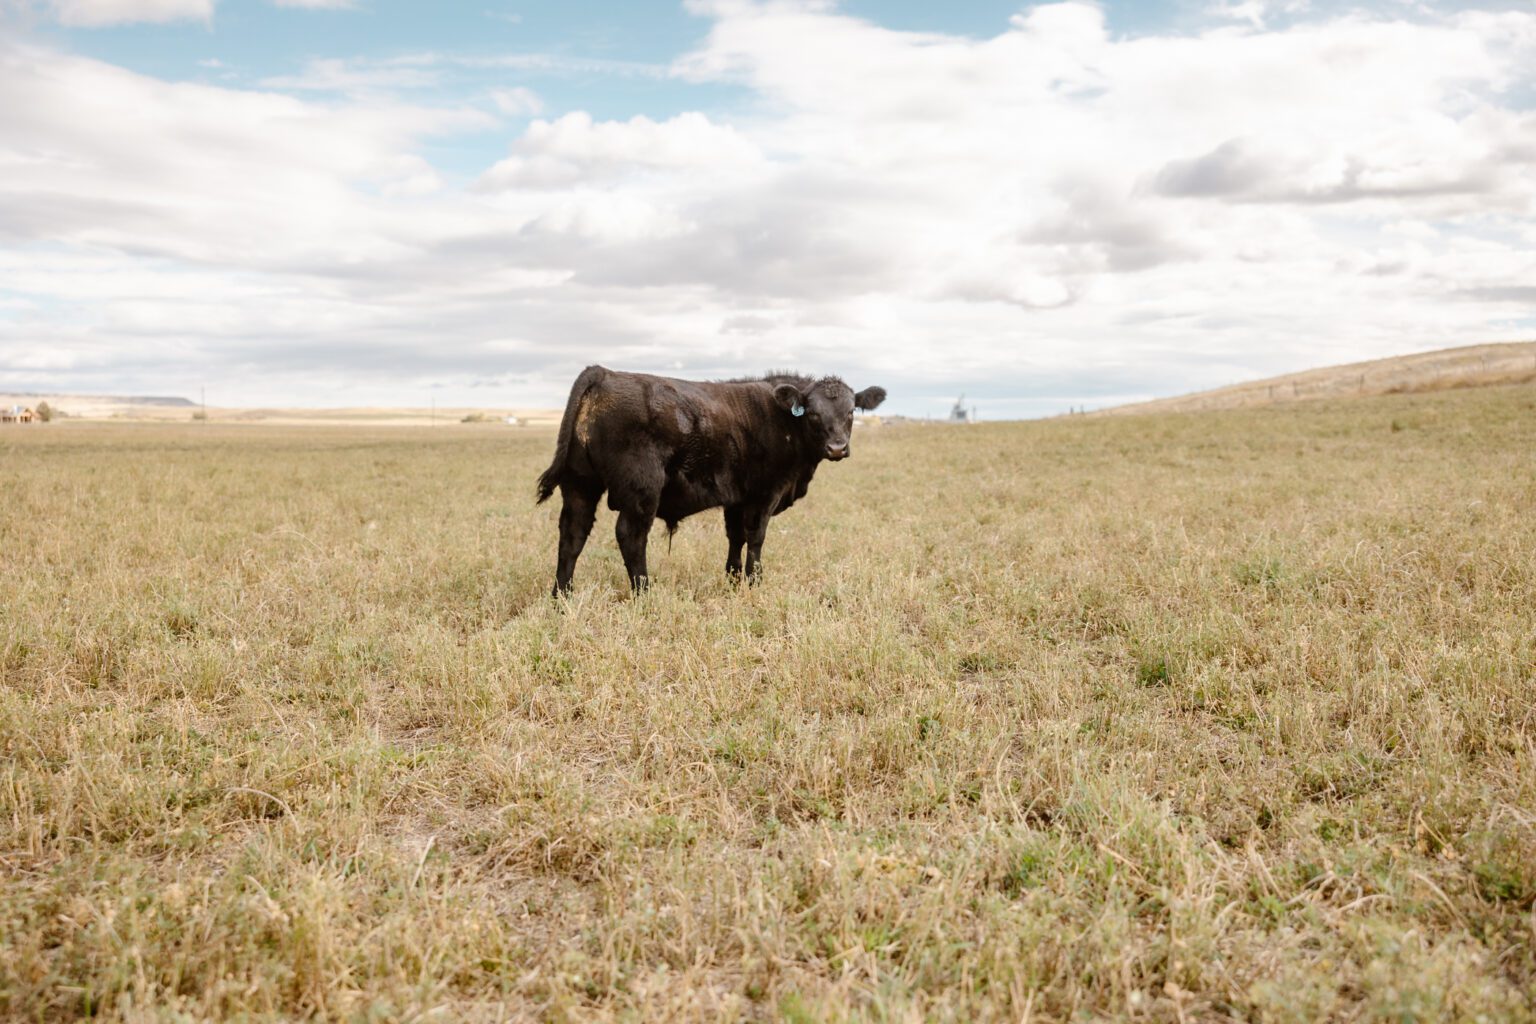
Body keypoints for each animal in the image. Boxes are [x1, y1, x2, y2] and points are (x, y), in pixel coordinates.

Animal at [535, 366, 886, 594]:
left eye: (851, 411)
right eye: (812, 413)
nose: (837, 447)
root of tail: (605, 373)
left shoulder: (736, 497)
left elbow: (735, 537)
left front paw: (732, 579)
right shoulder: (764, 493)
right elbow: (755, 537)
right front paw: (754, 582)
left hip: (580, 484)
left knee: (572, 535)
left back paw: (561, 596)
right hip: (641, 490)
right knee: (630, 536)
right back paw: (644, 592)